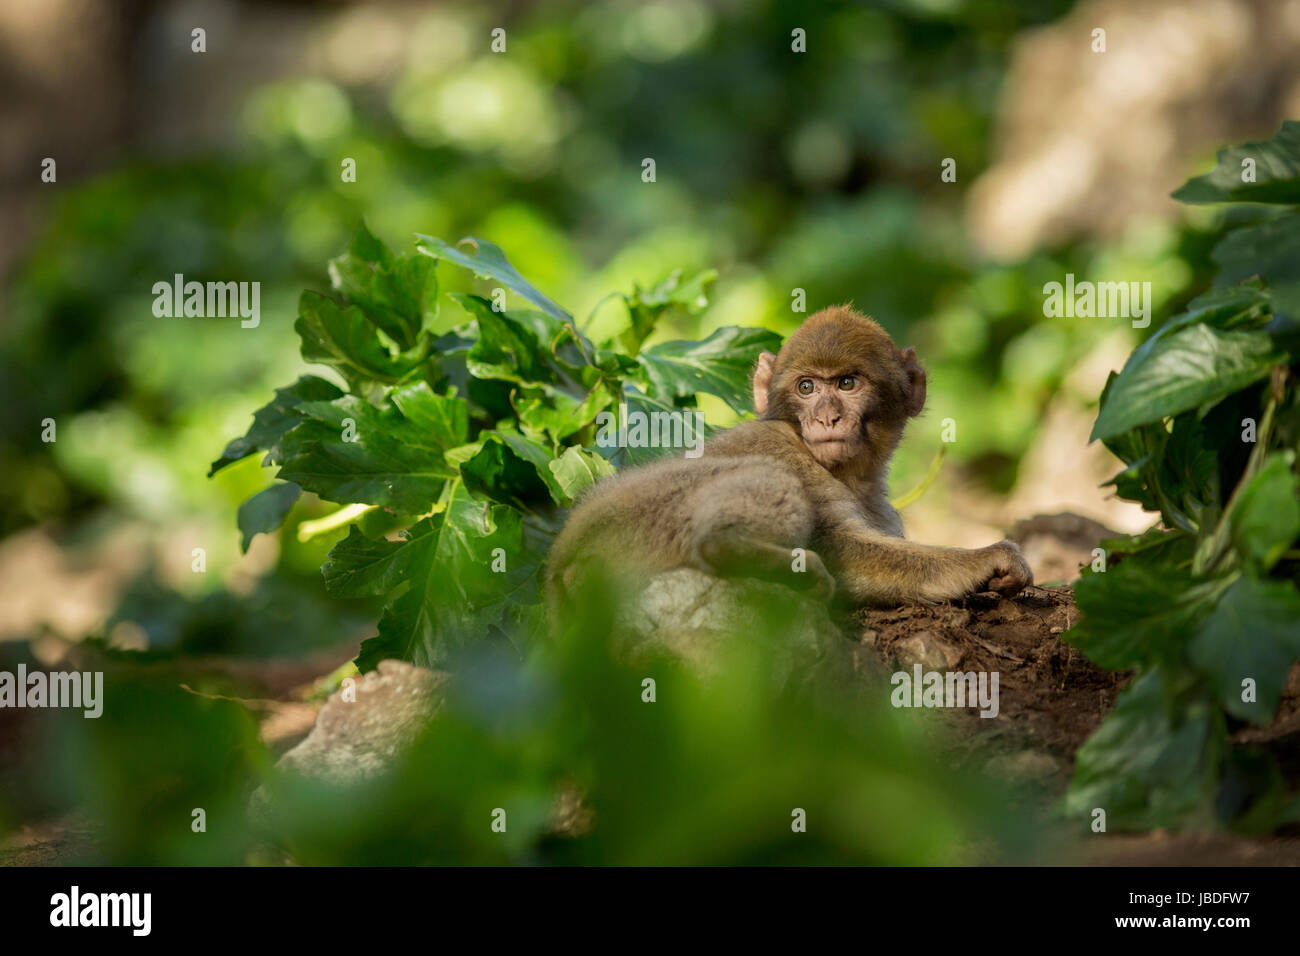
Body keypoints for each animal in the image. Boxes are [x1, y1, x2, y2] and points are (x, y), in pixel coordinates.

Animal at [545, 305, 1032, 616]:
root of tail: (560, 566)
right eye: (806, 388)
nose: (827, 417)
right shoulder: (784, 452)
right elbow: (844, 550)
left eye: (848, 383)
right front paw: (987, 558)